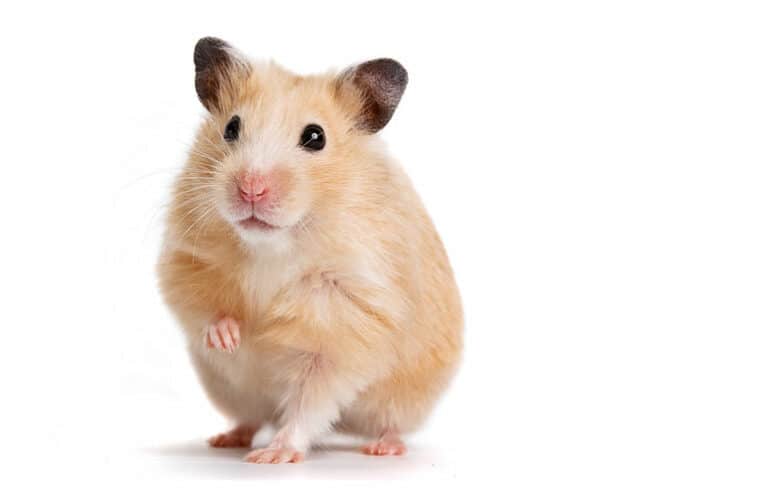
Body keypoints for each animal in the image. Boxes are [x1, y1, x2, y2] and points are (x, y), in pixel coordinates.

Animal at [157, 37, 463, 464]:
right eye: (231, 127)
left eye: (315, 137)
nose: (251, 189)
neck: (273, 245)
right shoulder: (185, 258)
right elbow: (202, 307)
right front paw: (230, 338)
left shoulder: (345, 326)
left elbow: (310, 401)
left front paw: (274, 456)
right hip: (230, 391)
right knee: (251, 417)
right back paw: (225, 439)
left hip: (405, 398)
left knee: (388, 423)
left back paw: (382, 448)